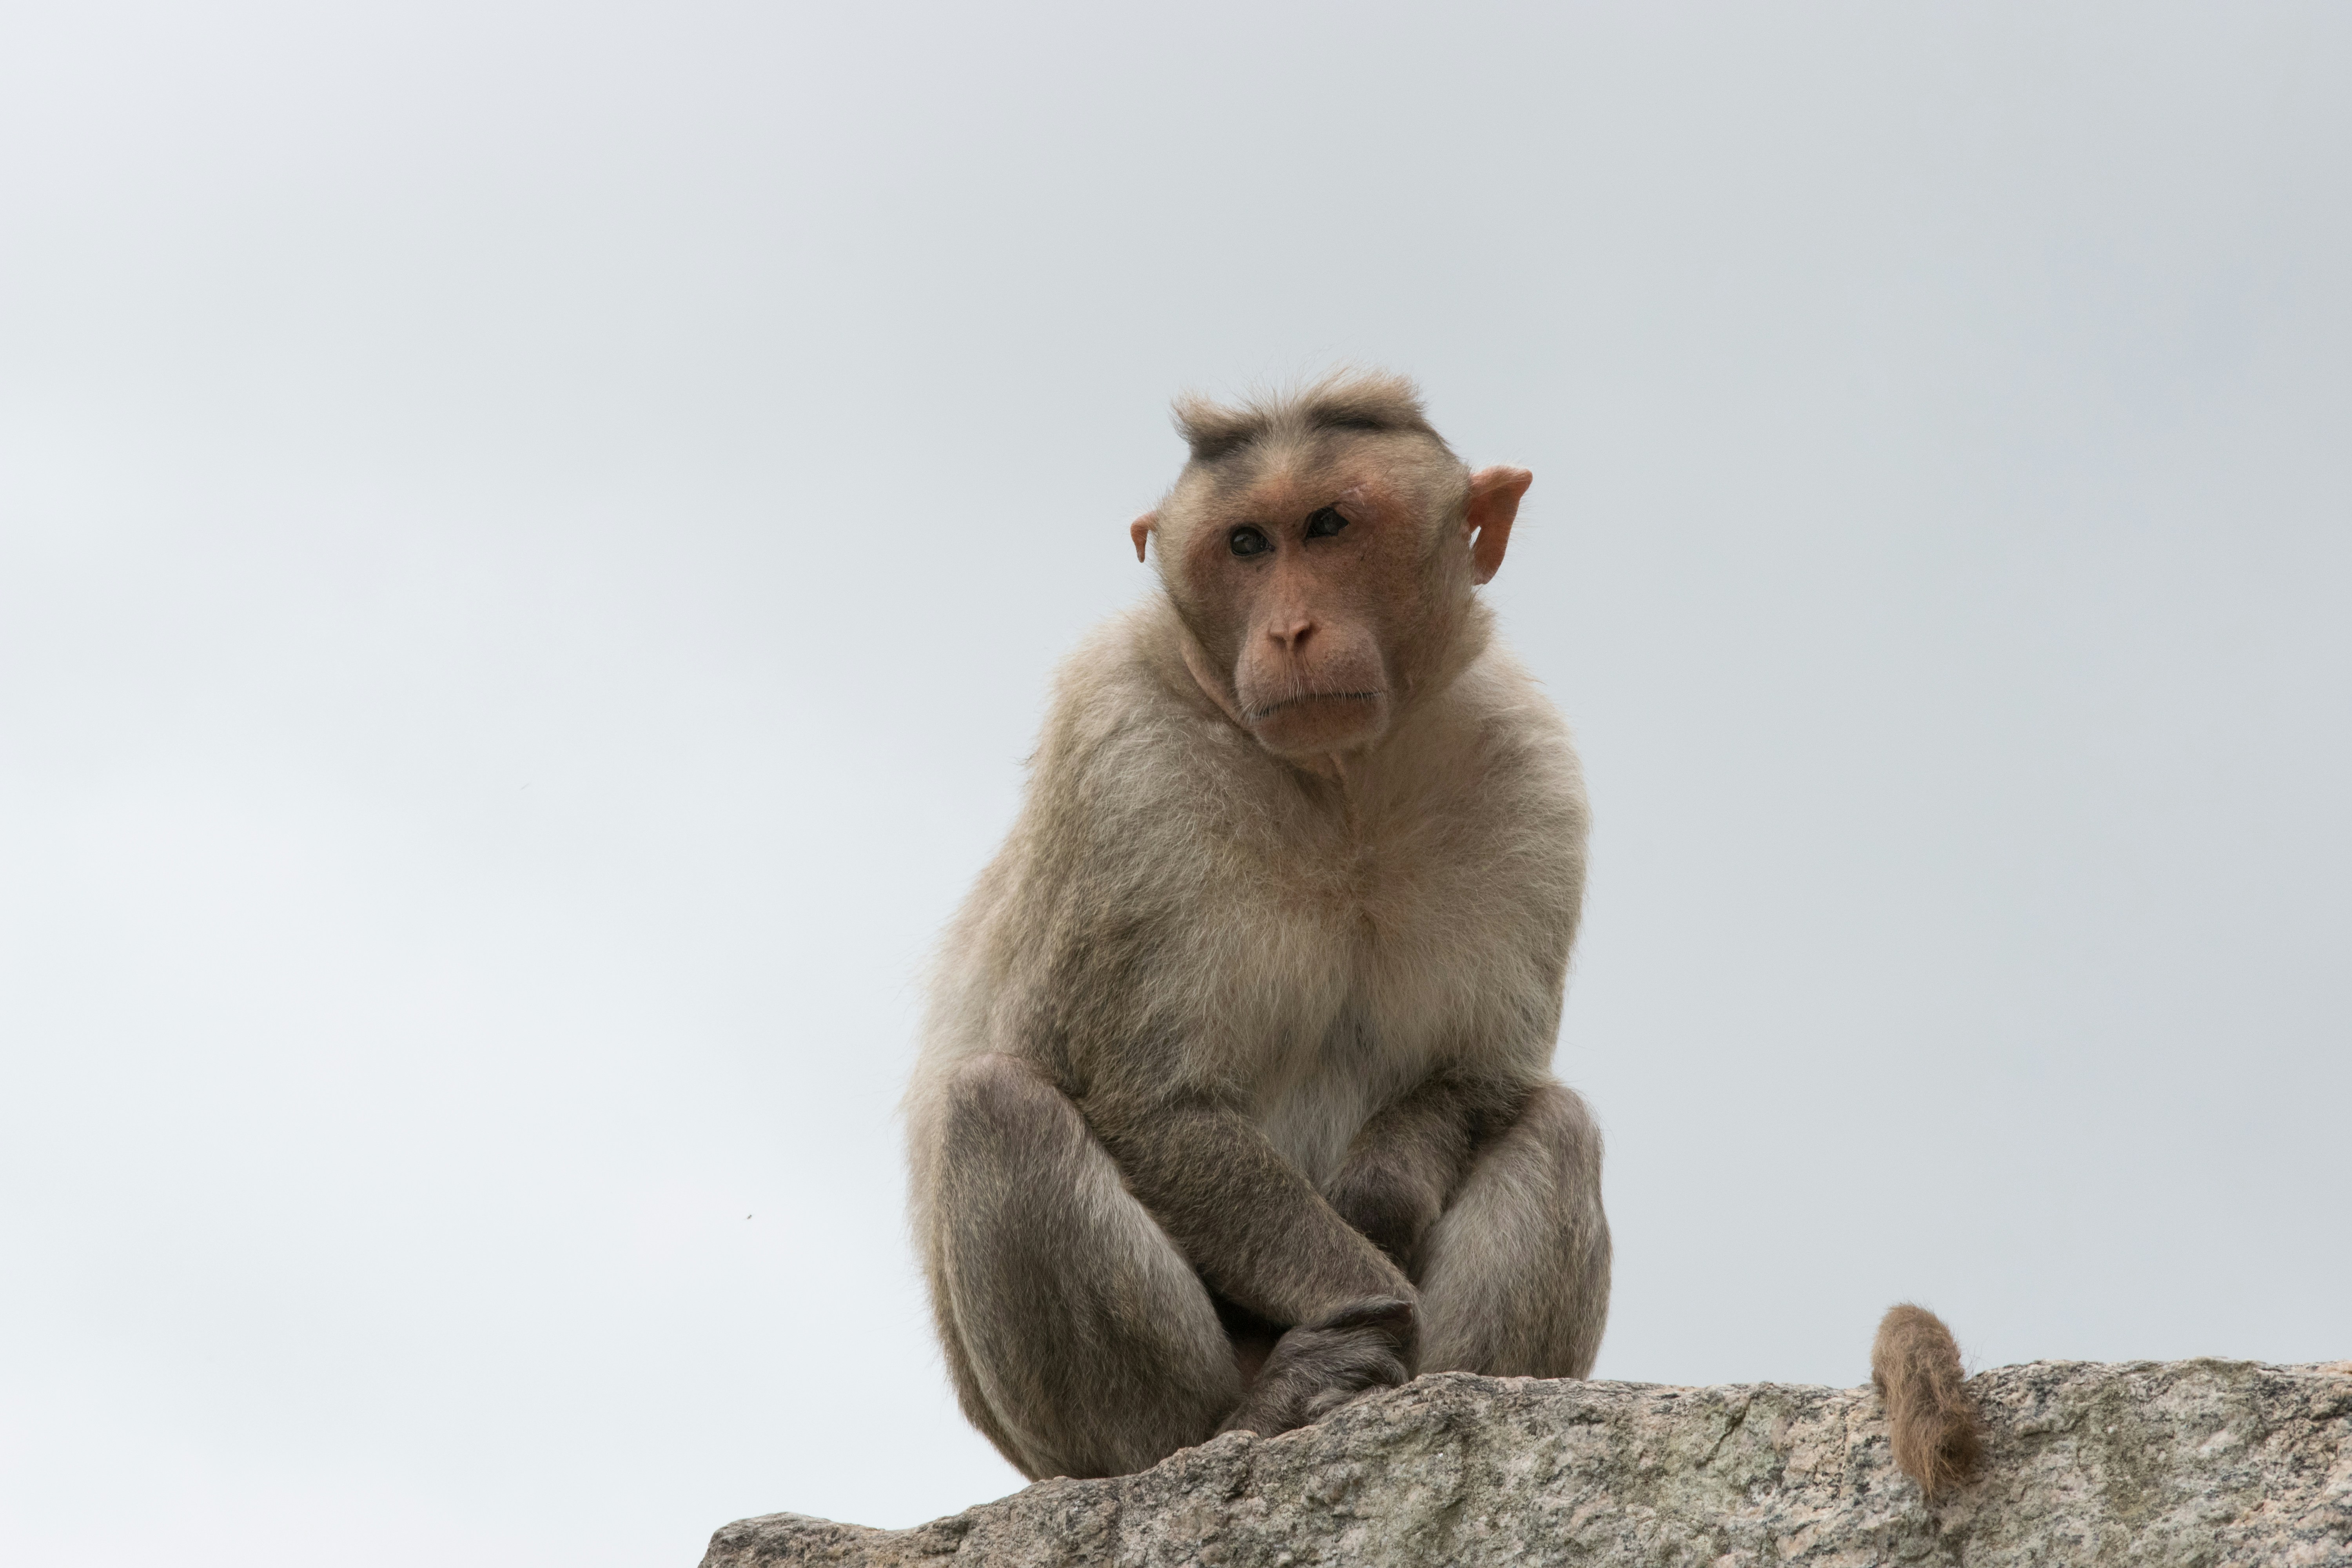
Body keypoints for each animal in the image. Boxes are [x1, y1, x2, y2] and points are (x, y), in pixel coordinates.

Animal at [903, 370, 1611, 1482]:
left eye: (1327, 526)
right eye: (1244, 543)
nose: (1289, 634)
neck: (1339, 781)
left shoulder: (1530, 768)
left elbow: (1483, 1073)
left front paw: (1380, 1197)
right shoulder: (1122, 750)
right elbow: (1141, 1095)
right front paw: (1364, 1302)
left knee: (1556, 1125)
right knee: (997, 1105)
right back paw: (1254, 1416)